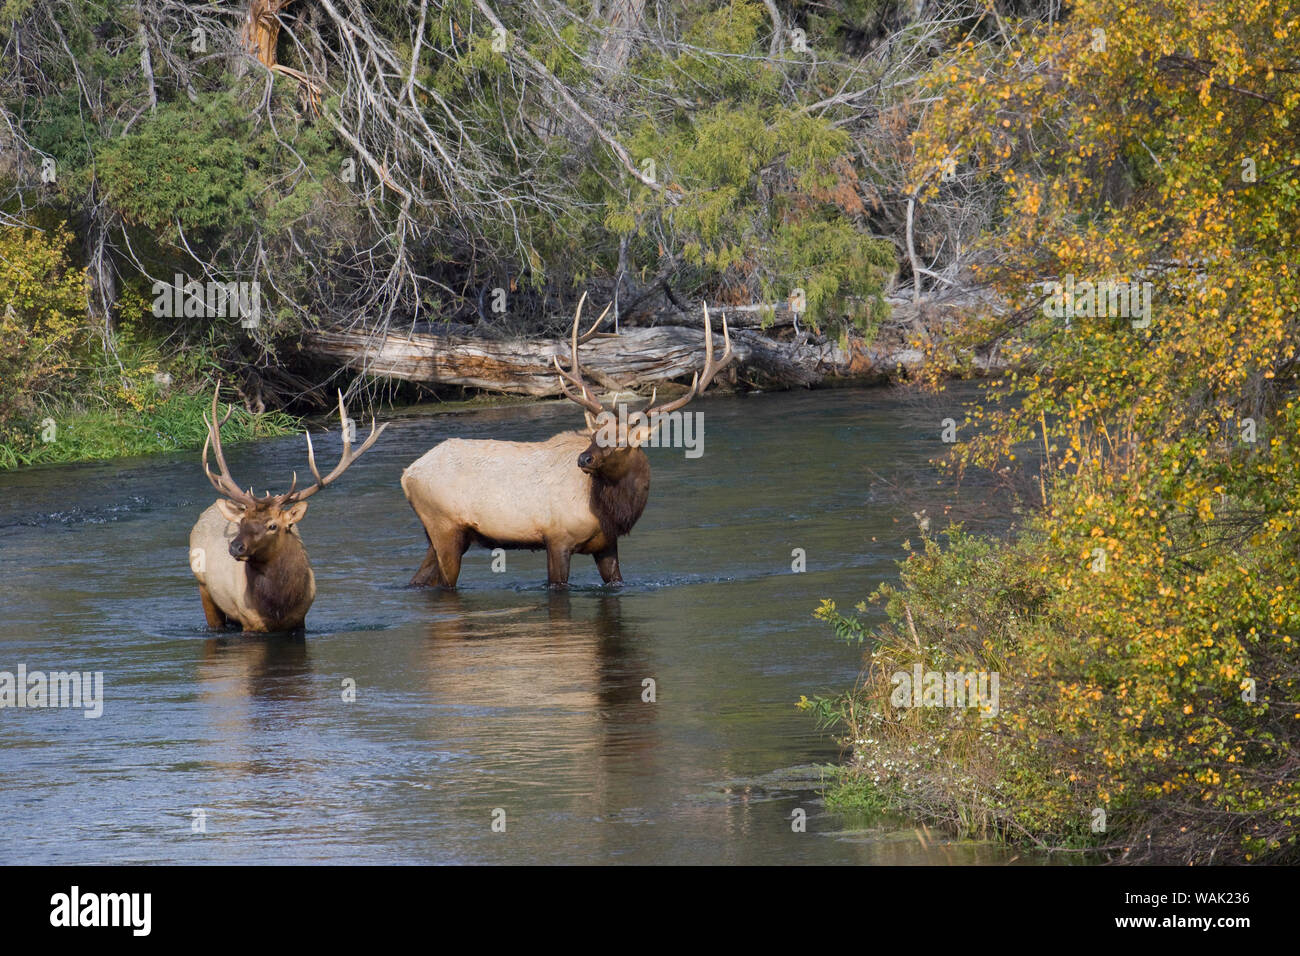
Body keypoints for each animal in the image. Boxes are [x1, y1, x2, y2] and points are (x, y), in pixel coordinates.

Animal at [189, 385, 387, 632]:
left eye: (273, 526)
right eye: (242, 522)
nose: (235, 547)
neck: (278, 606)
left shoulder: (300, 619)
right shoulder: (249, 622)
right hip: (203, 586)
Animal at [401, 295, 734, 589]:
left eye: (620, 442)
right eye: (595, 435)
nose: (584, 459)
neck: (608, 512)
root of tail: (407, 474)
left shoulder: (606, 545)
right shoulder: (557, 537)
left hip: (442, 535)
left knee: (419, 580)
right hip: (445, 527)